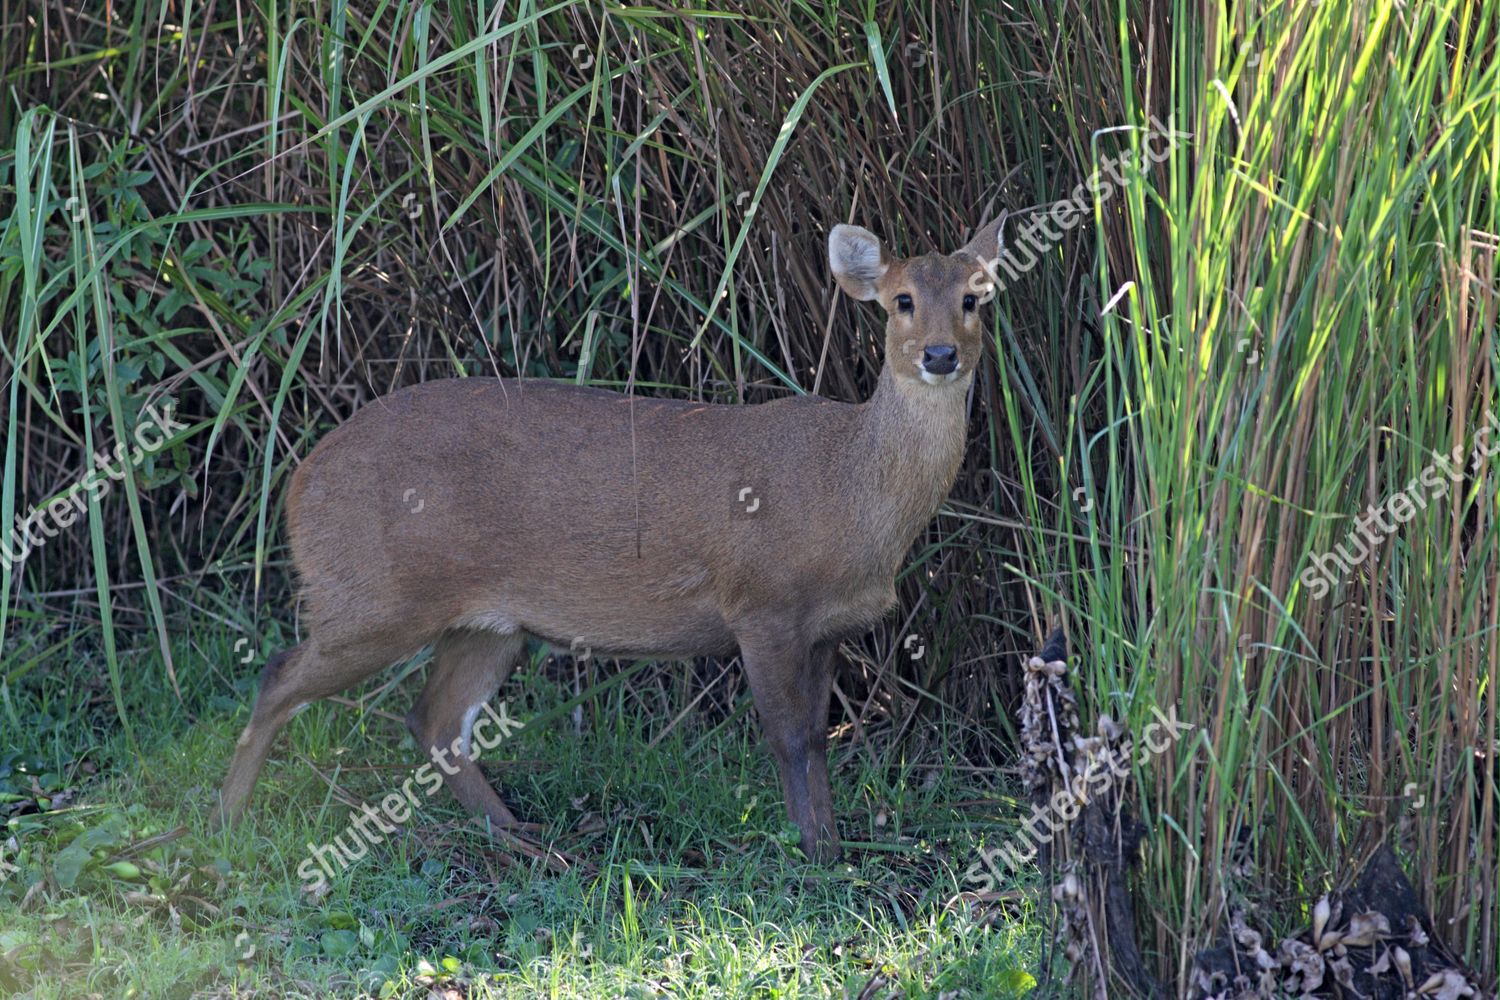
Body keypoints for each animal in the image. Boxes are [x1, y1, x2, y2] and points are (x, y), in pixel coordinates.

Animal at [214, 214, 1005, 865]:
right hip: (372, 595)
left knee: (434, 719)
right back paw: (225, 826)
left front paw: (835, 849)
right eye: (901, 299)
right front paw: (810, 857)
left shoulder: (828, 628)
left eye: (975, 296)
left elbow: (816, 739)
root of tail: (298, 484)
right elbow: (785, 737)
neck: (849, 494)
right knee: (280, 674)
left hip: (487, 622)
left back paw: (526, 839)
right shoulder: (761, 604)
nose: (940, 355)